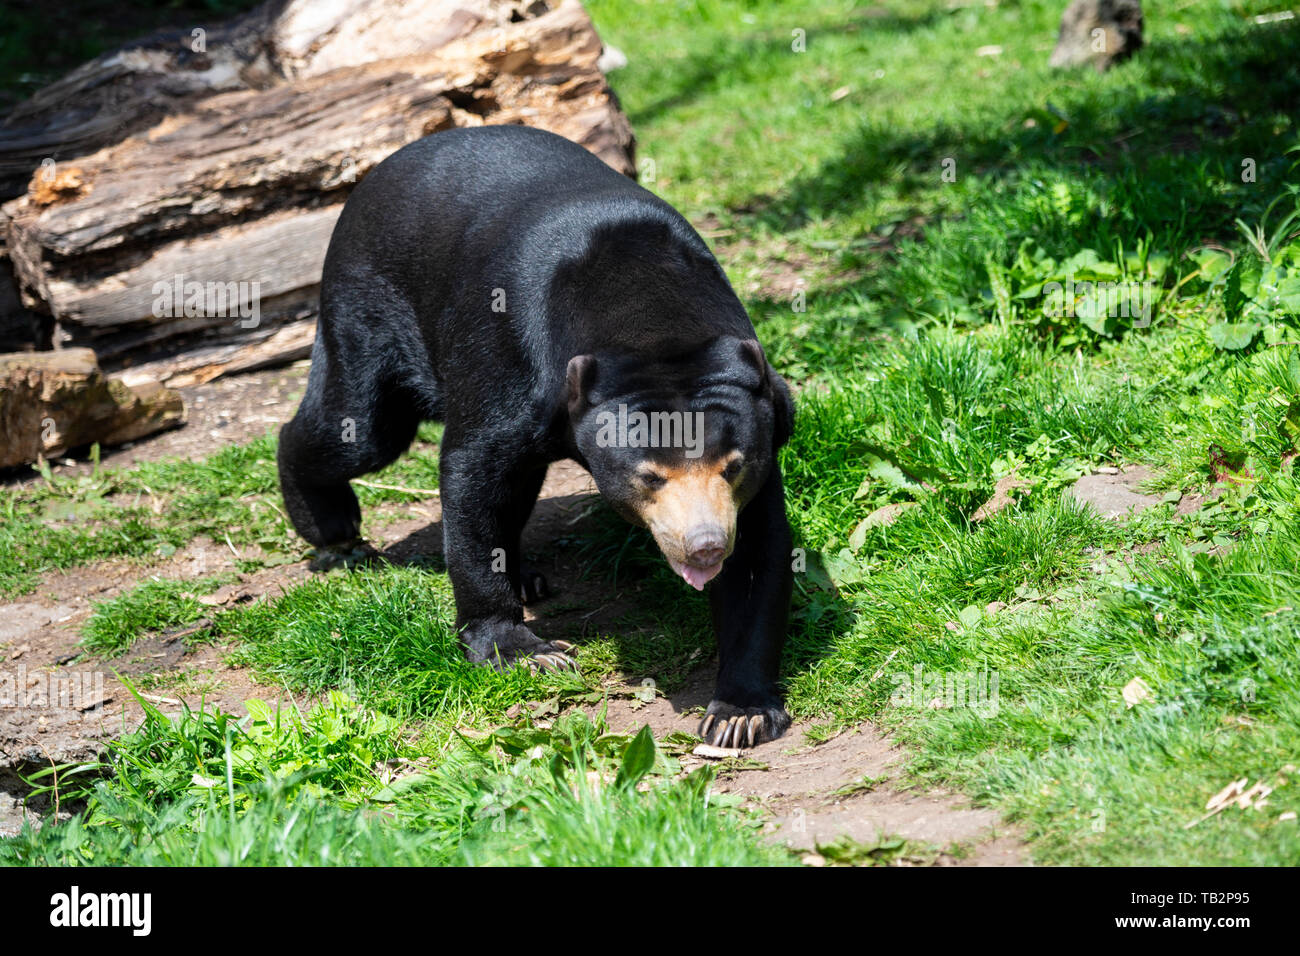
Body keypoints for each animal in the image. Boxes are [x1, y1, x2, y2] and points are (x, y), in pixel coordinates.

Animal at [277, 125, 795, 748]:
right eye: (649, 476)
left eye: (733, 467)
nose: (706, 546)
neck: (647, 315)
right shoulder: (509, 359)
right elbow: (472, 471)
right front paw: (524, 652)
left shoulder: (761, 425)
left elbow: (761, 549)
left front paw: (740, 714)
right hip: (366, 306)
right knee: (355, 429)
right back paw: (332, 532)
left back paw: (525, 577)